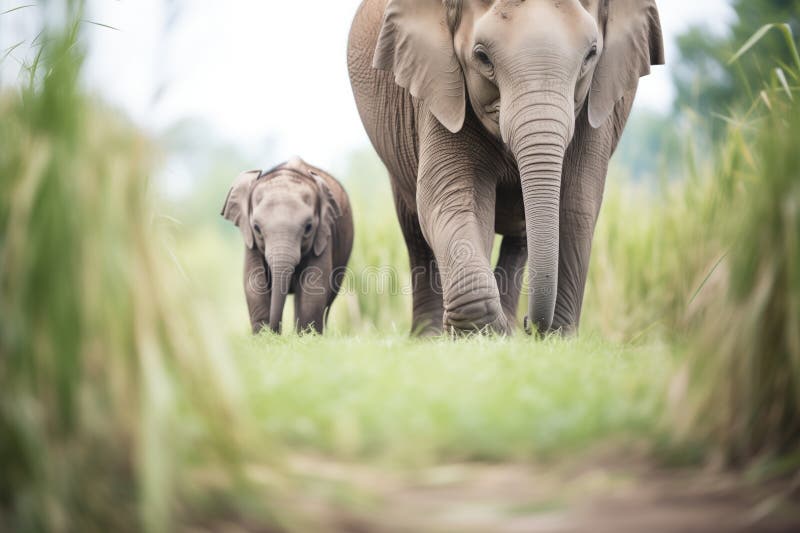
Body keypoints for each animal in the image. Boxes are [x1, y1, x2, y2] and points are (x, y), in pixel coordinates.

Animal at [221, 156, 354, 334]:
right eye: (256, 228)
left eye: (309, 227)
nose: (275, 332)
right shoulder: (250, 240)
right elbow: (254, 283)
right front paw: (264, 337)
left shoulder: (323, 235)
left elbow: (314, 285)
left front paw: (306, 337)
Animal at [347, 0, 663, 336]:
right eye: (482, 57)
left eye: (591, 54)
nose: (530, 326)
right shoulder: (439, 86)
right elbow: (452, 199)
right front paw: (480, 334)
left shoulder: (596, 102)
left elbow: (577, 204)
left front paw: (558, 338)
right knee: (414, 228)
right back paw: (432, 337)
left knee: (521, 237)